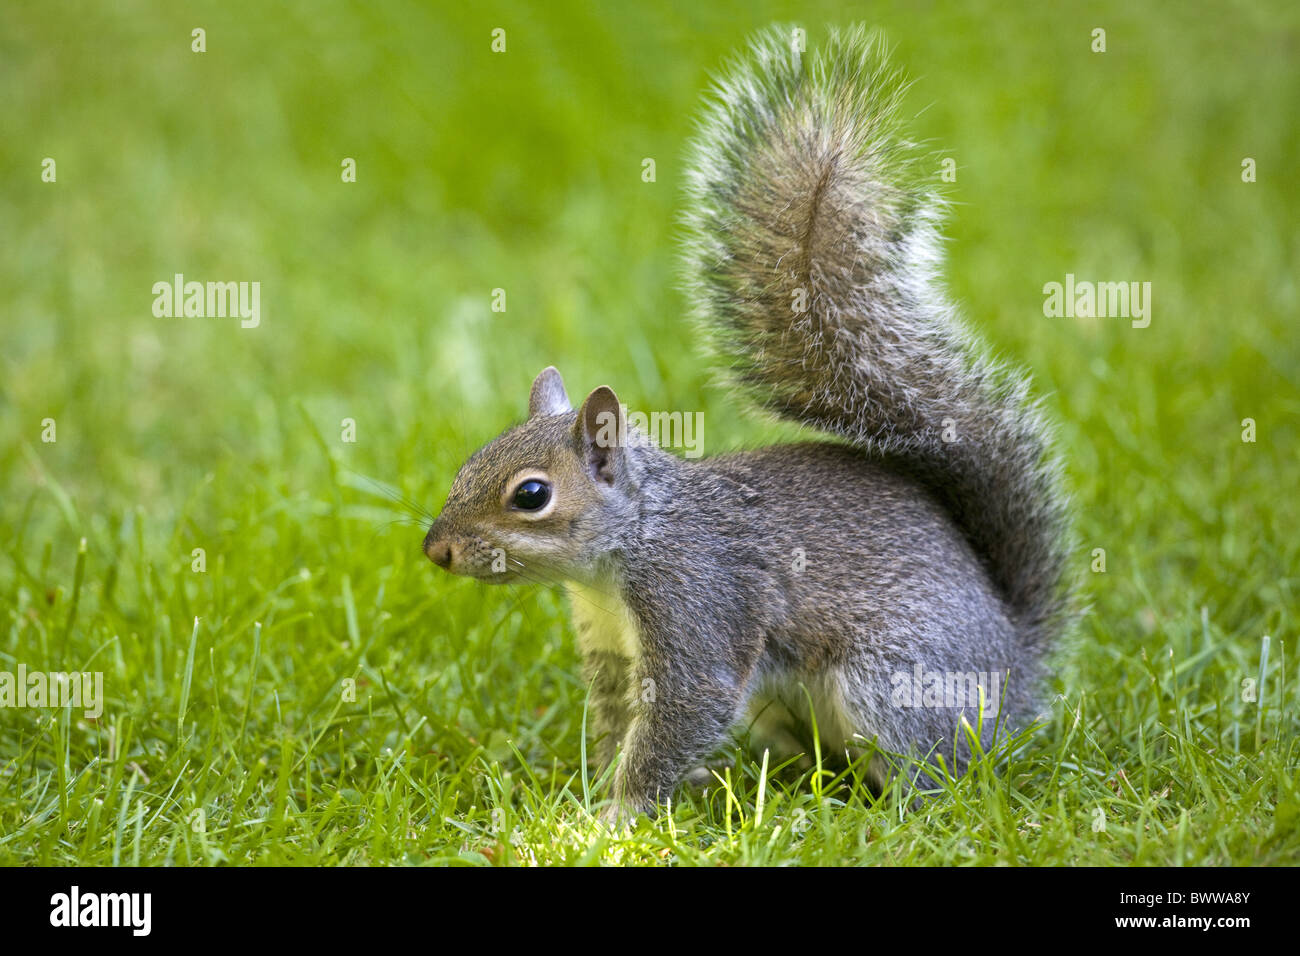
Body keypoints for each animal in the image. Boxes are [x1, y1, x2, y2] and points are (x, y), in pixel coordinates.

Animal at [423, 25, 1074, 818]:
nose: (436, 550)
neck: (629, 545)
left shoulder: (699, 597)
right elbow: (617, 724)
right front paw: (588, 792)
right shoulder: (611, 651)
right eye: (467, 464)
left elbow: (687, 708)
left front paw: (612, 820)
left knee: (937, 773)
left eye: (531, 495)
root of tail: (1014, 677)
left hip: (895, 680)